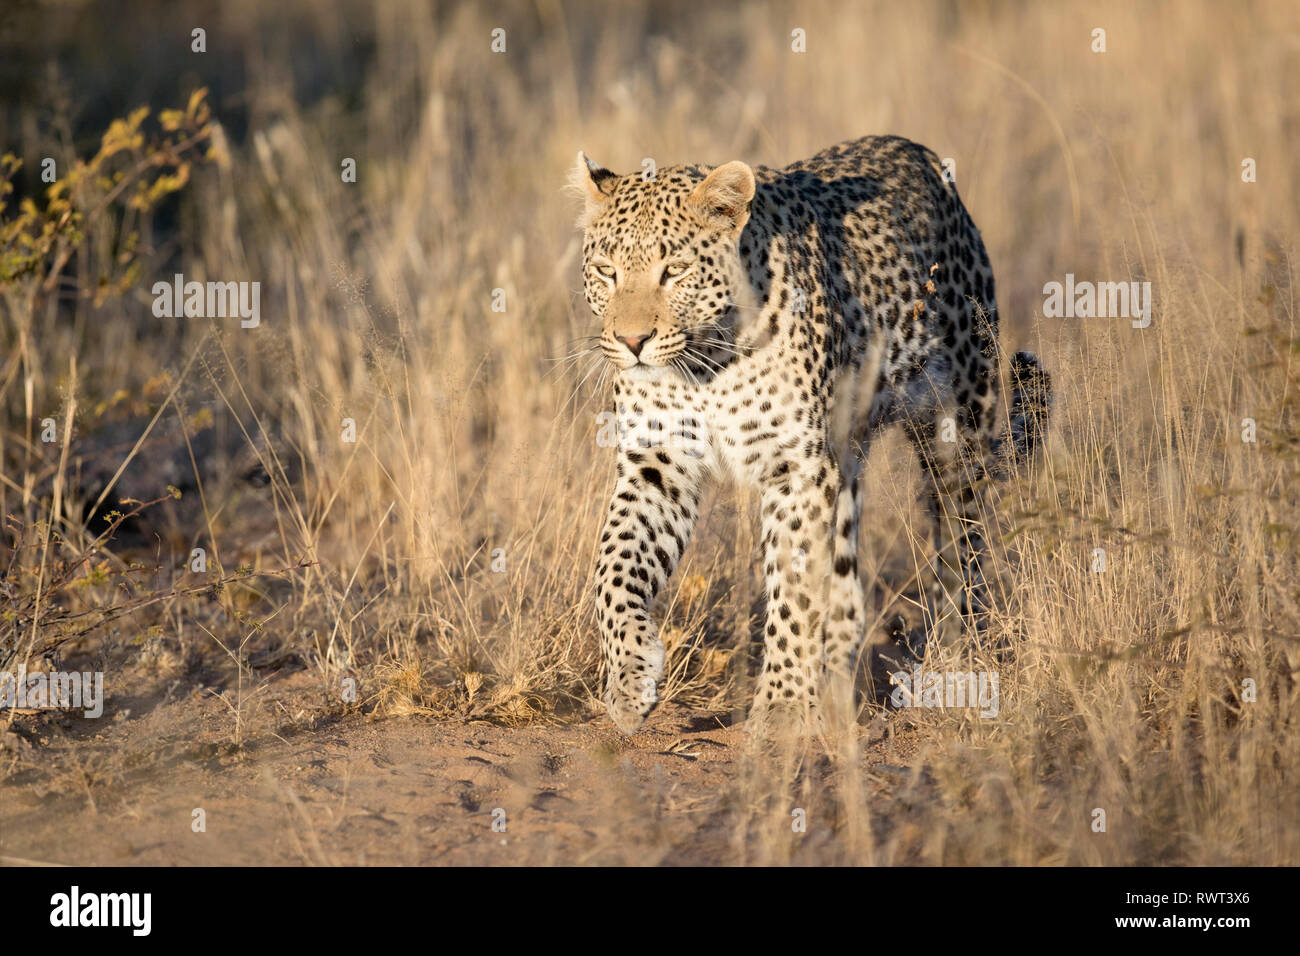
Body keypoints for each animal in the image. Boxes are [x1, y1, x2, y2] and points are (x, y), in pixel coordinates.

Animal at [571, 135, 1051, 736]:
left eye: (674, 270)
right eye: (606, 271)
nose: (631, 341)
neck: (705, 365)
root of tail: (921, 156)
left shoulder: (795, 468)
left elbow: (794, 589)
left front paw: (779, 708)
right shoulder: (657, 462)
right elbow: (612, 566)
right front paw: (630, 680)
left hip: (956, 430)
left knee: (963, 550)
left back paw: (956, 655)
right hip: (848, 456)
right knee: (846, 577)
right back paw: (837, 687)